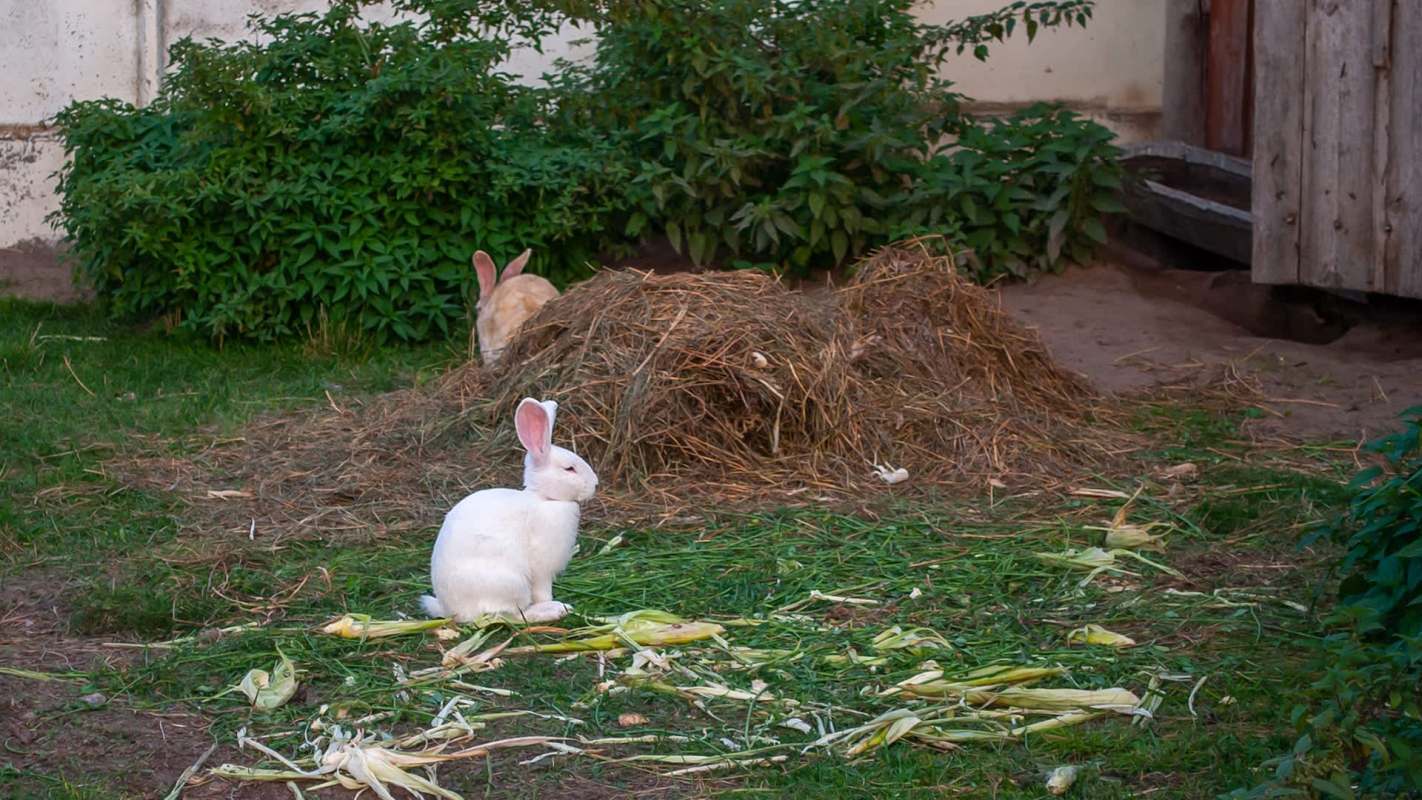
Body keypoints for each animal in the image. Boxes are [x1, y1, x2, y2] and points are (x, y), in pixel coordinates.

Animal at [421, 397, 597, 623]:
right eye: (569, 469)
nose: (595, 484)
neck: (544, 498)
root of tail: (452, 610)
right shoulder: (541, 569)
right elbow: (543, 592)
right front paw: (551, 603)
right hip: (512, 584)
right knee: (512, 616)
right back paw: (554, 610)